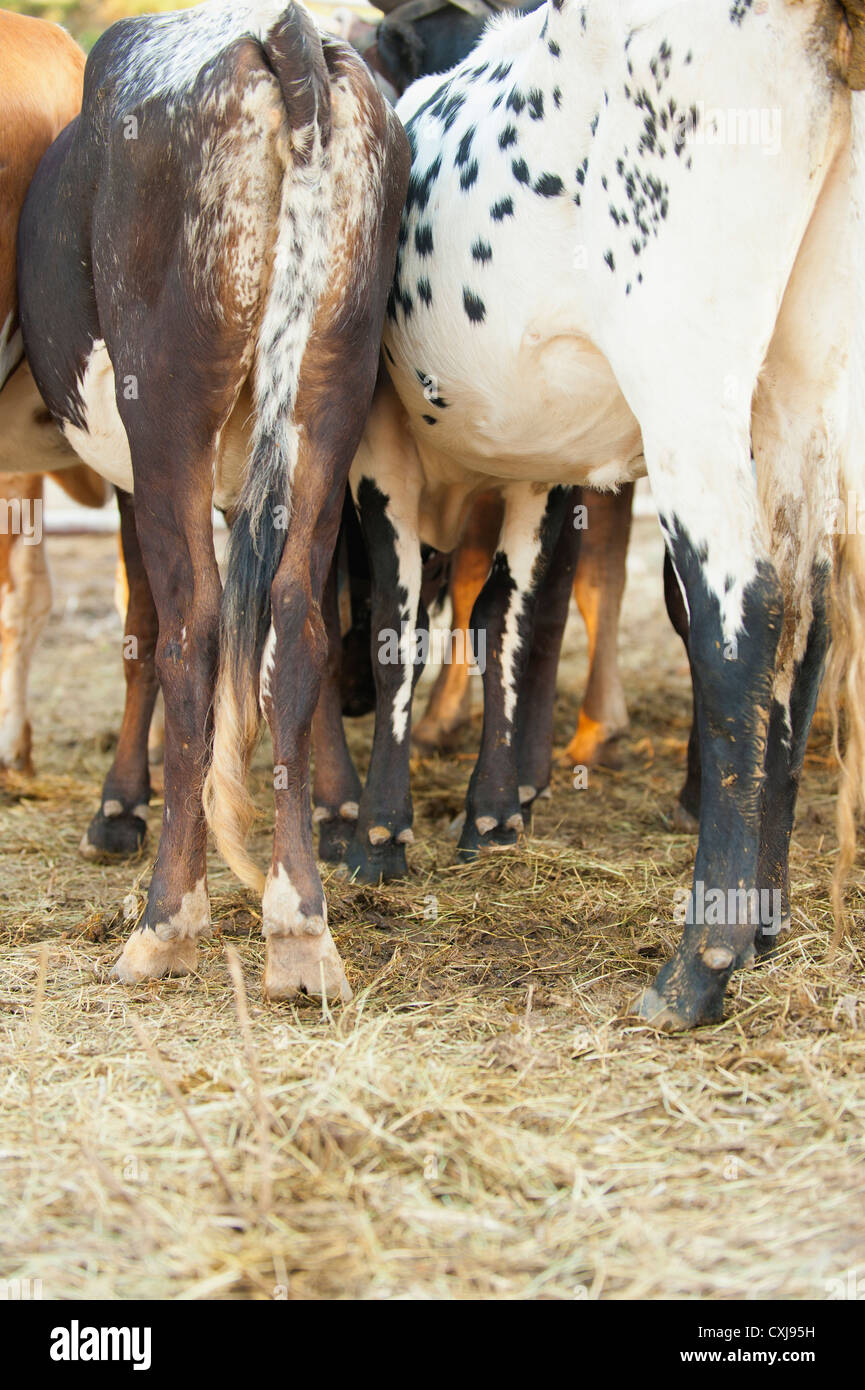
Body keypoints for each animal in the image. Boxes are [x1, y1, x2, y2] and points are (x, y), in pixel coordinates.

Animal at [17, 0, 409, 1001]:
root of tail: (288, 36)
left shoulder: (134, 471)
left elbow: (145, 632)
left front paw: (119, 807)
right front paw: (336, 803)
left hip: (166, 411)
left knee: (190, 629)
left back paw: (166, 922)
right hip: (329, 393)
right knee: (299, 618)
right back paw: (300, 923)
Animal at [223, 0, 865, 1030]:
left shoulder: (380, 449)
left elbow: (402, 632)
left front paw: (381, 837)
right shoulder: (535, 467)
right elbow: (508, 623)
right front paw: (487, 813)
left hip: (685, 373)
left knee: (743, 618)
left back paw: (698, 965)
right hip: (801, 386)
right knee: (802, 630)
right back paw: (762, 923)